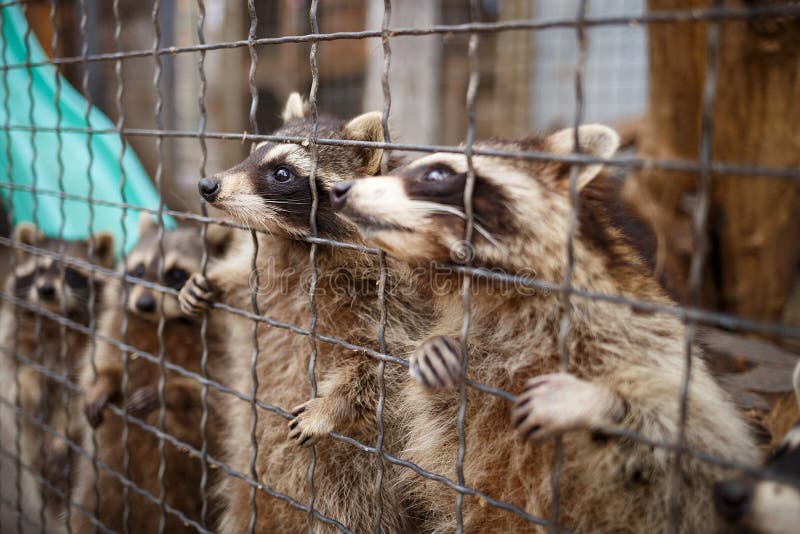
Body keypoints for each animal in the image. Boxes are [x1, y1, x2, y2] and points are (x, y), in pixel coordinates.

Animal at [0, 222, 114, 530]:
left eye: (71, 272)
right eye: (39, 270)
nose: (46, 290)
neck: (54, 324)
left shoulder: (89, 350)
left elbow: (77, 401)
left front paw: (61, 433)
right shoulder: (15, 335)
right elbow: (16, 373)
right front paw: (29, 384)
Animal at [70, 214, 230, 534]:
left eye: (176, 274)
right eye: (140, 269)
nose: (144, 304)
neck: (164, 324)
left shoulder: (220, 351)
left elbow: (213, 406)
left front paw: (169, 392)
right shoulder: (116, 327)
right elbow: (101, 362)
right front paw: (103, 384)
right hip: (99, 488)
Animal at [179, 93, 429, 533]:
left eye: (282, 173)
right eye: (252, 153)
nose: (208, 185)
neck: (302, 246)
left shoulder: (398, 302)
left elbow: (390, 365)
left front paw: (335, 404)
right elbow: (248, 286)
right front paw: (217, 281)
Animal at [331, 125, 760, 533]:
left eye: (436, 174)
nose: (341, 190)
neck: (496, 292)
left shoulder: (648, 342)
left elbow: (695, 445)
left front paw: (598, 402)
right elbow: (440, 421)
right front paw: (434, 352)